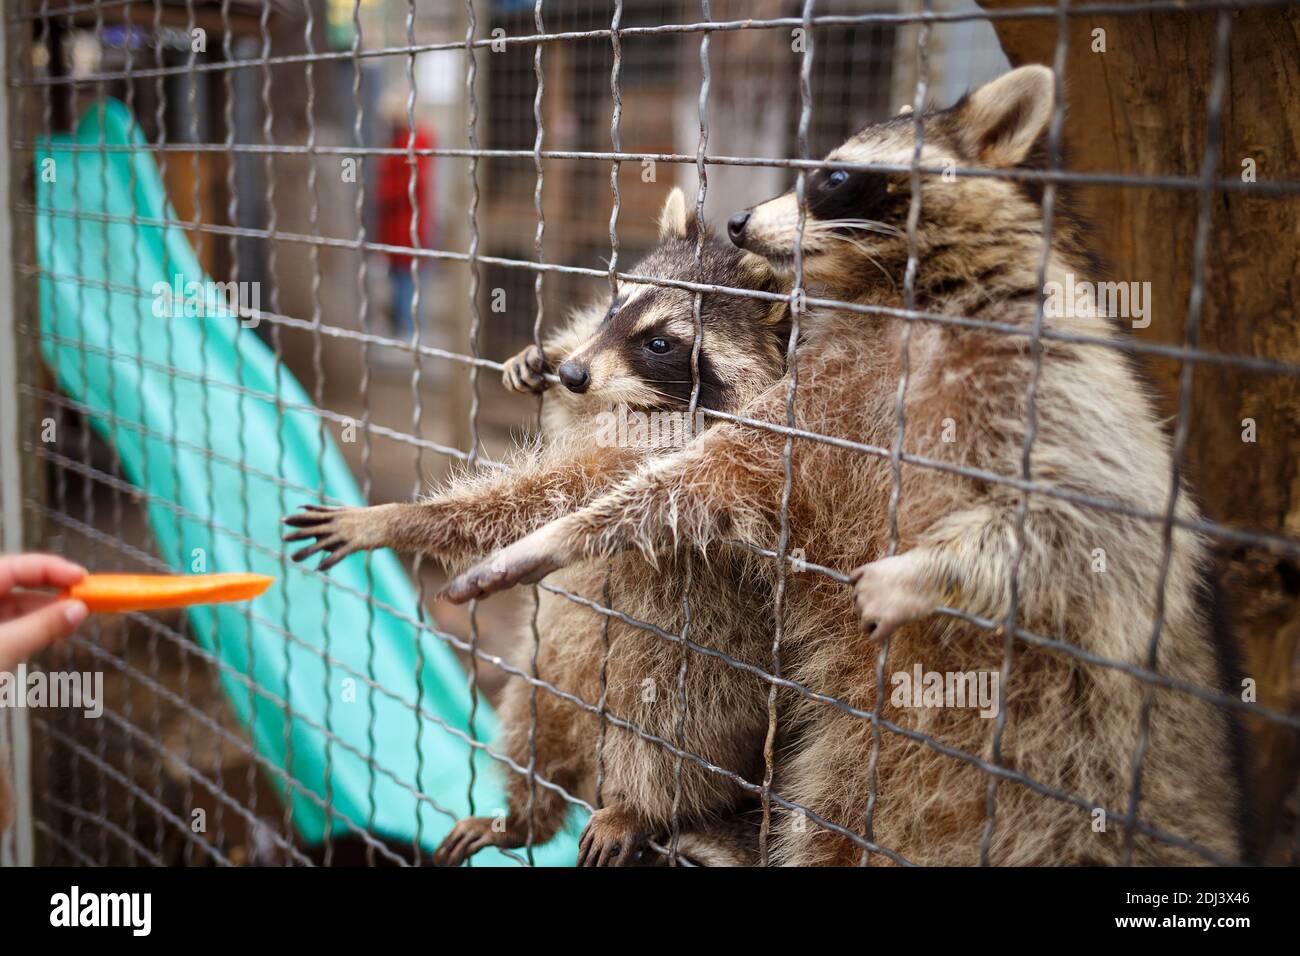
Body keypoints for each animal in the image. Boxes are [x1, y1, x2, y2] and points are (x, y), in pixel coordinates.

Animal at [285, 188, 788, 865]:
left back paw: (638, 807)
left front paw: (403, 519)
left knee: (672, 736)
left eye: (660, 343)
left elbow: (557, 497)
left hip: (707, 684)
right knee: (530, 715)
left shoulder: (690, 449)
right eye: (615, 307)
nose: (574, 374)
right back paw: (525, 815)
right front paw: (545, 362)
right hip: (546, 672)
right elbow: (569, 437)